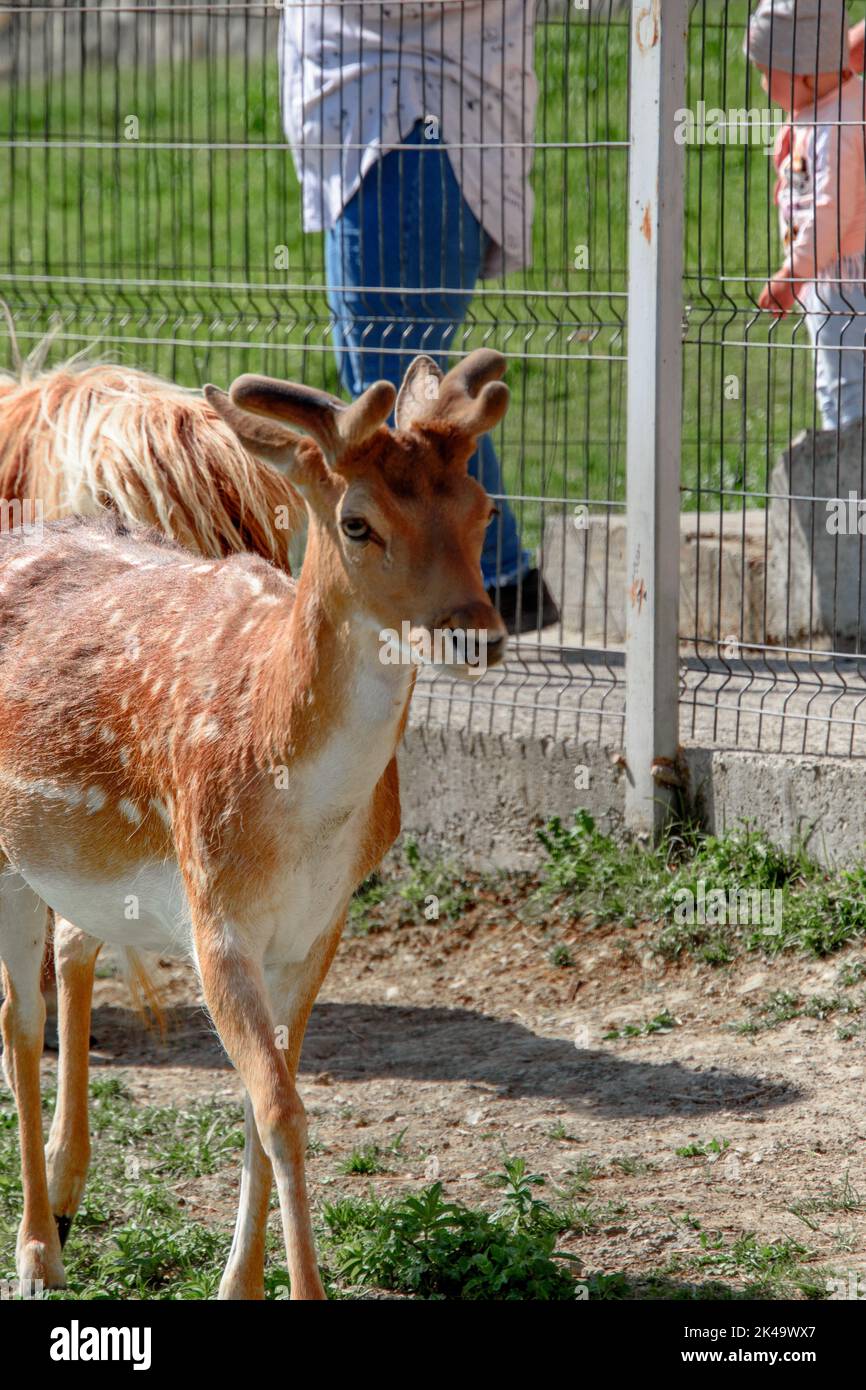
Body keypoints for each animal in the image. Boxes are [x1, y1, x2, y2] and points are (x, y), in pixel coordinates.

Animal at [0, 348, 509, 1299]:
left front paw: (238, 1283)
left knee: (73, 951)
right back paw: (37, 1251)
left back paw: (67, 1193)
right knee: (19, 1013)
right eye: (356, 522)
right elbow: (280, 1109)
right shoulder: (216, 914)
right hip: (11, 858)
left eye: (482, 506)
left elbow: (260, 1101)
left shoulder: (318, 925)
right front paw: (297, 1289)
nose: (476, 632)